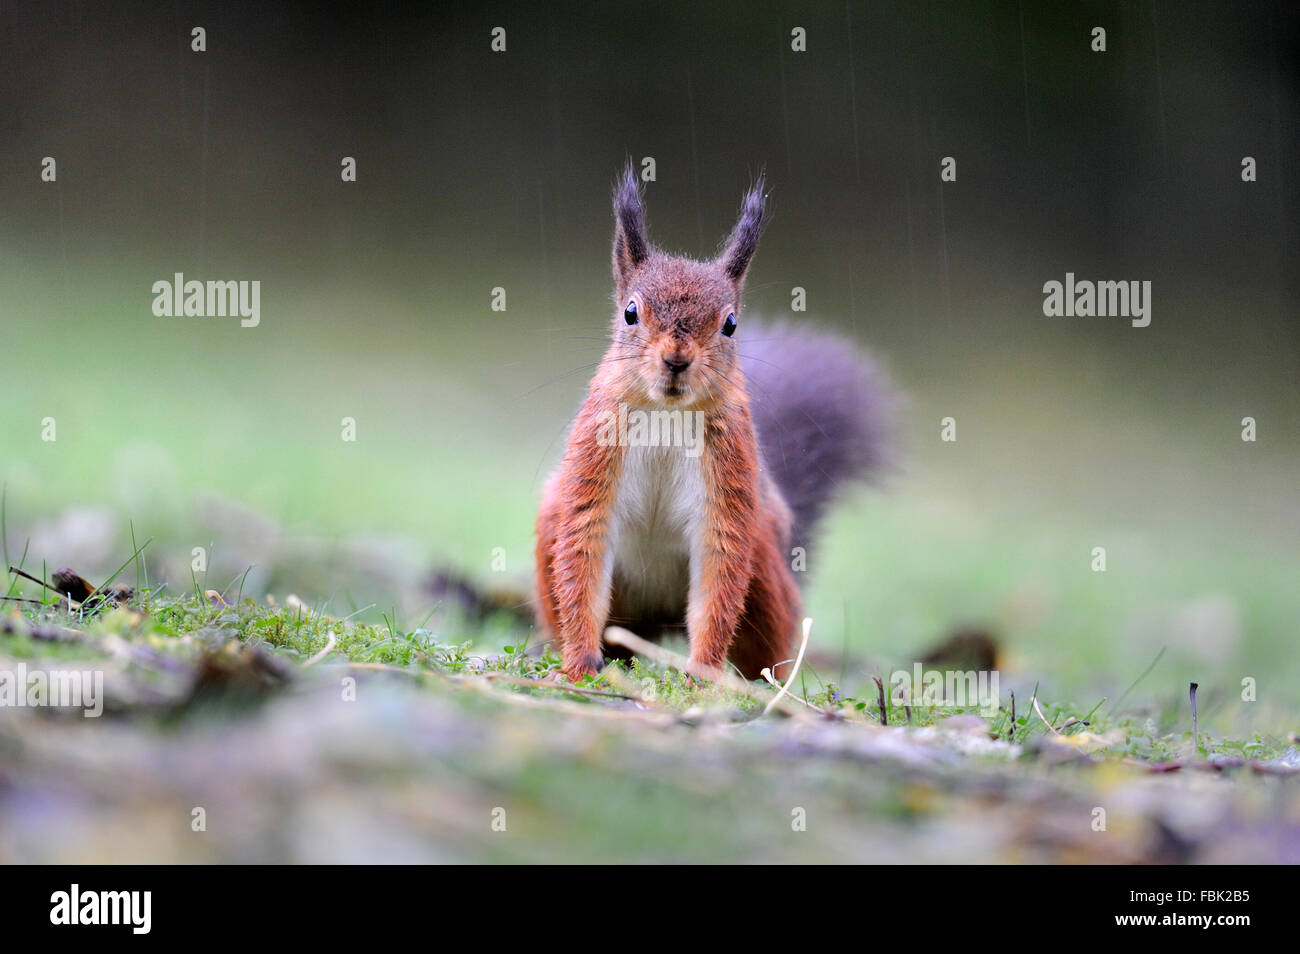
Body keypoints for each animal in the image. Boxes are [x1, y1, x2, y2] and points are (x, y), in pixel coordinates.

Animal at [535, 163, 893, 682]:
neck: (667, 414)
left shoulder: (728, 484)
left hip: (764, 560)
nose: (677, 360)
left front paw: (702, 675)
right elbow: (584, 550)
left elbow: (718, 579)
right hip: (552, 526)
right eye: (630, 313)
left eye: (730, 324)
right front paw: (580, 663)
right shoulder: (595, 462)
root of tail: (659, 623)